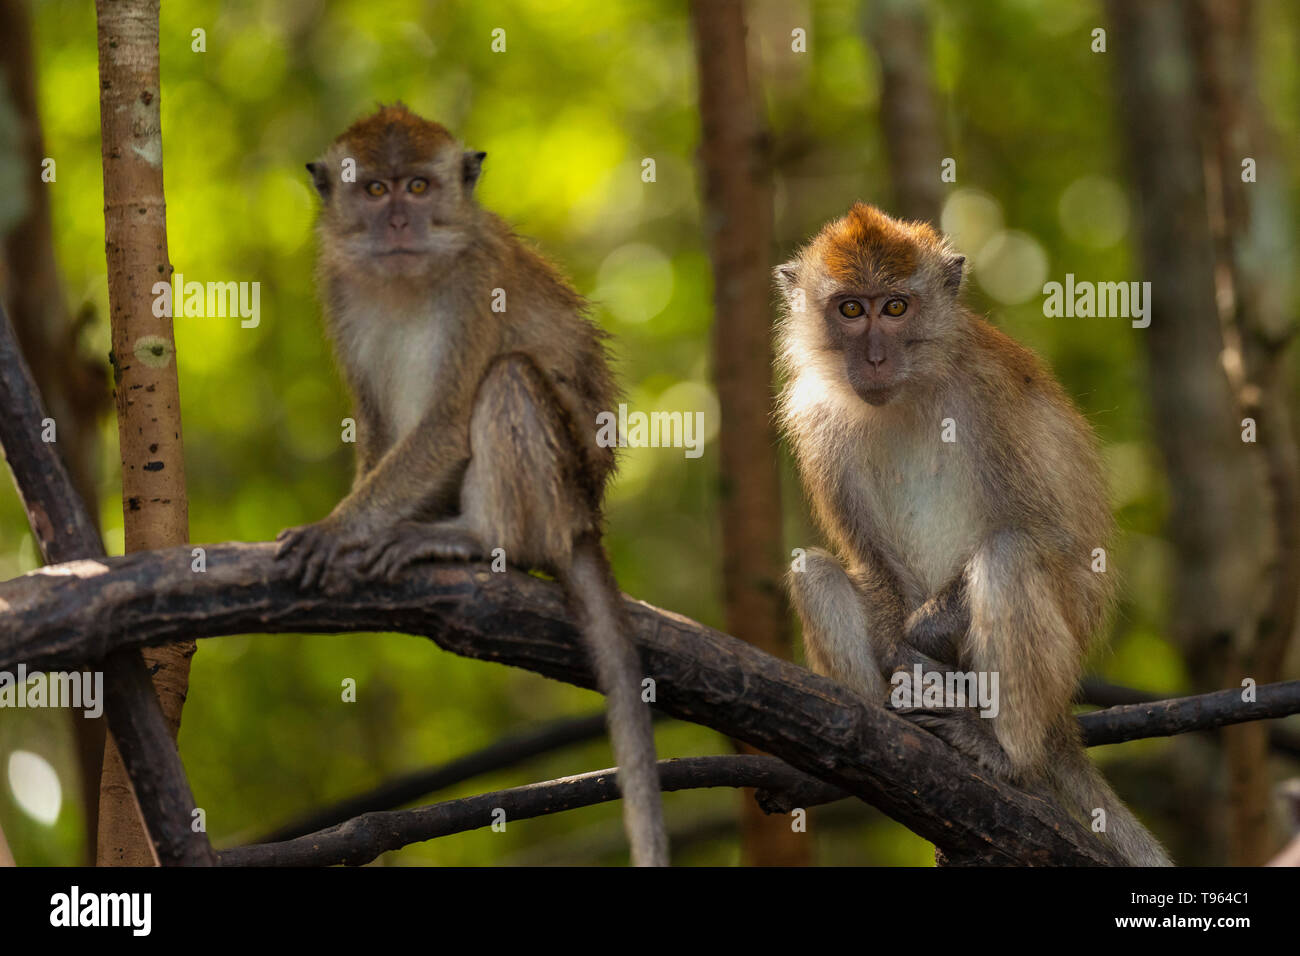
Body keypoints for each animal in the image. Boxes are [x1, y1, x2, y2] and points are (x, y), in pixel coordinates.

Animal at [274, 104, 668, 867]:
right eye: (375, 190)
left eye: (420, 187)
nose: (400, 222)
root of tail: (588, 517)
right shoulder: (336, 286)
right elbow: (375, 427)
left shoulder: (476, 281)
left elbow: (453, 417)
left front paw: (338, 529)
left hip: (559, 485)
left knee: (508, 377)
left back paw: (478, 538)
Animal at [774, 202, 1171, 866]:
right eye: (851, 309)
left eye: (896, 308)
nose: (874, 358)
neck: (908, 393)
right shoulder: (815, 416)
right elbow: (868, 563)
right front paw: (897, 654)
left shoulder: (990, 391)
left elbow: (1054, 534)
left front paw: (920, 641)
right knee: (816, 570)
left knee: (1009, 555)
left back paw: (1007, 755)